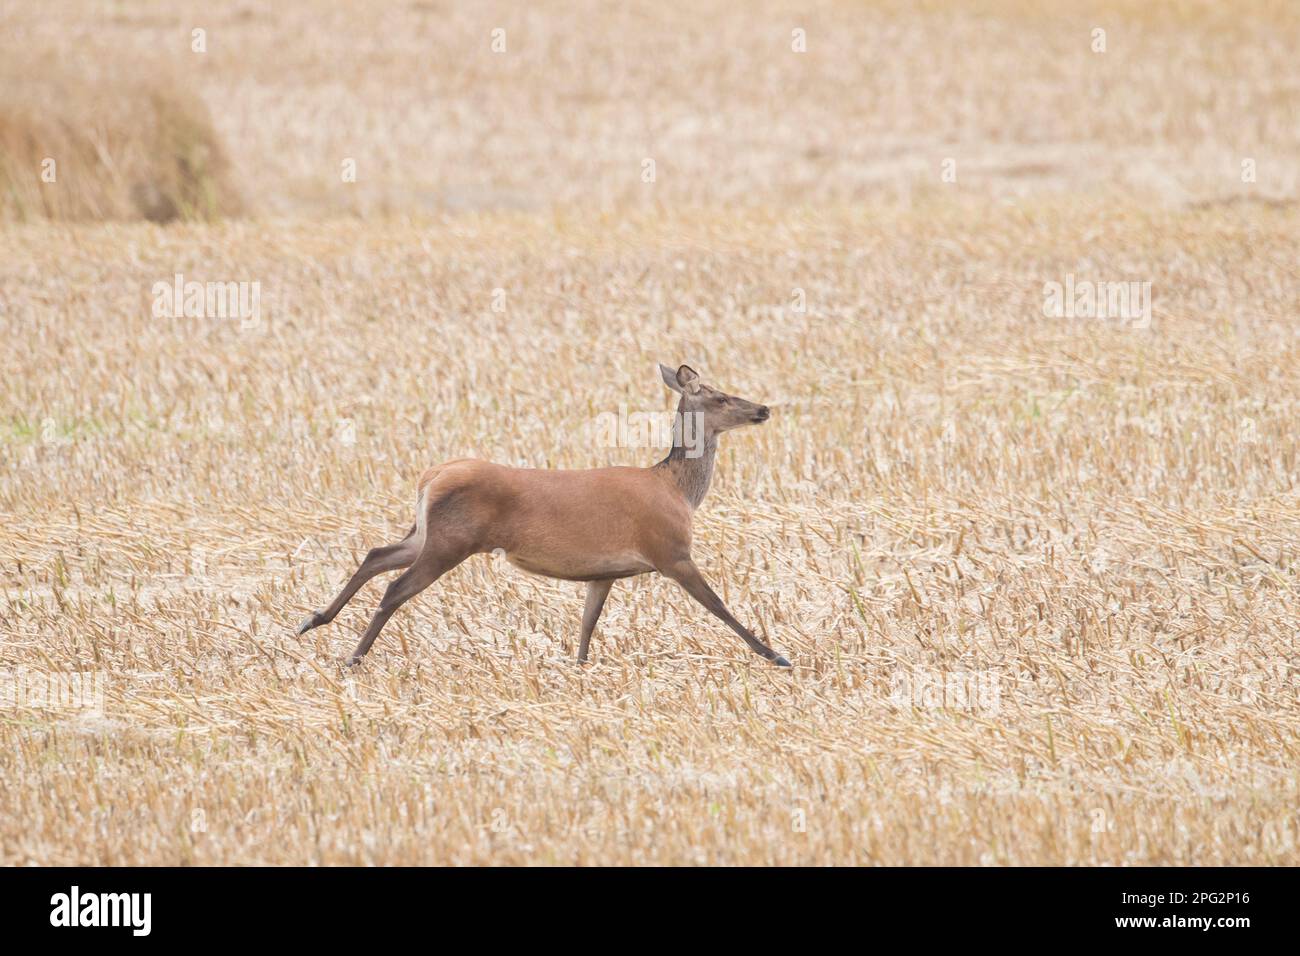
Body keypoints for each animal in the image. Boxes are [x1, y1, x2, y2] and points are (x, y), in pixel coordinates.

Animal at [295, 363, 791, 668]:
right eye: (721, 397)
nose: (764, 408)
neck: (679, 491)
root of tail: (430, 476)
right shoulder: (670, 551)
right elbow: (719, 606)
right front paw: (776, 655)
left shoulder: (604, 571)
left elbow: (588, 623)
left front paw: (578, 666)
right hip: (451, 541)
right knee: (395, 588)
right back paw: (353, 658)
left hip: (425, 534)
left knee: (376, 554)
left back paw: (313, 620)